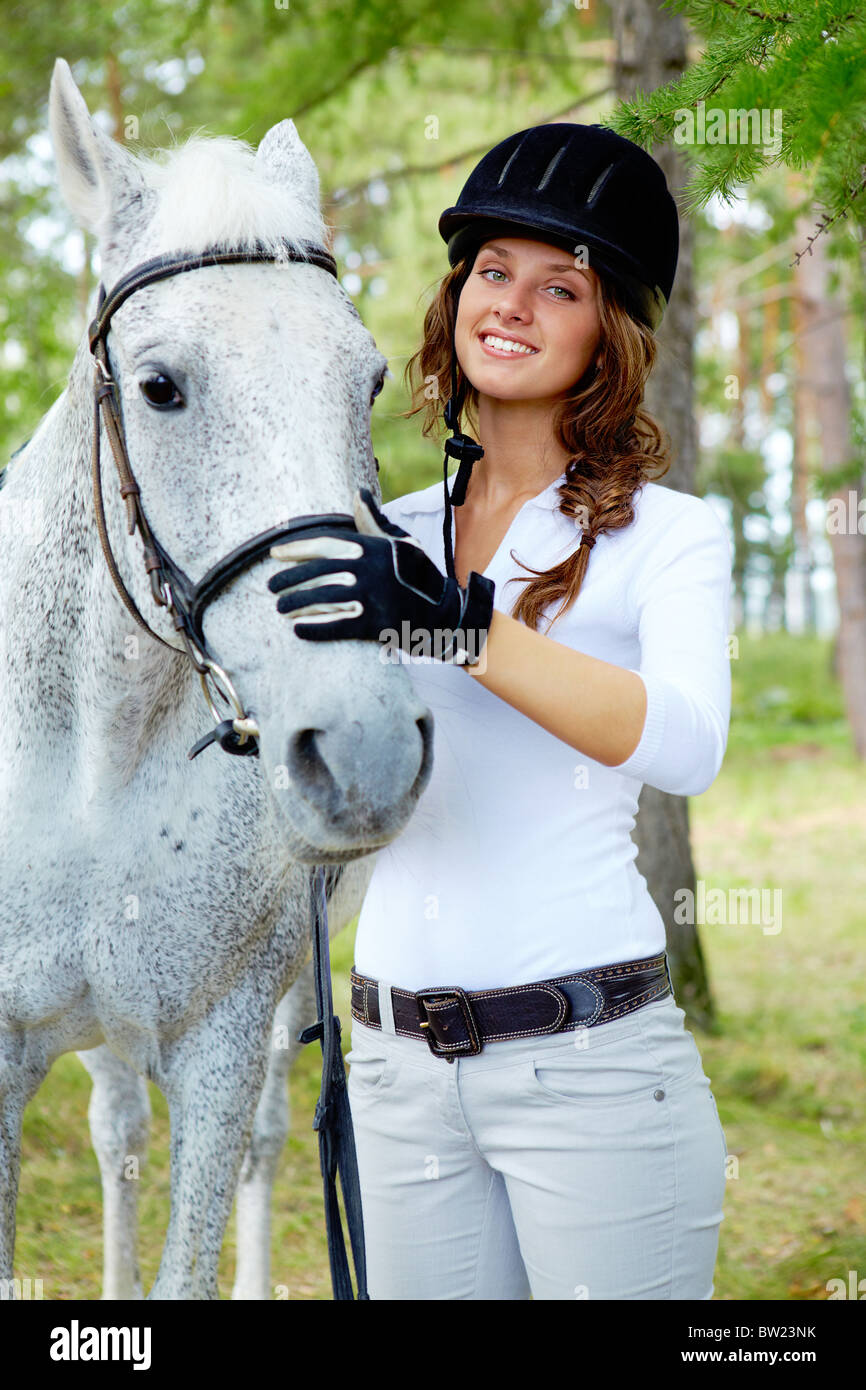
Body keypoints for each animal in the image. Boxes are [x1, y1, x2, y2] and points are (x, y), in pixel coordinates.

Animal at [0, 57, 432, 1300]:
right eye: (158, 386)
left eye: (367, 379)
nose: (363, 748)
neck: (88, 764)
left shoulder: (221, 1042)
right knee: (116, 1134)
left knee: (269, 1143)